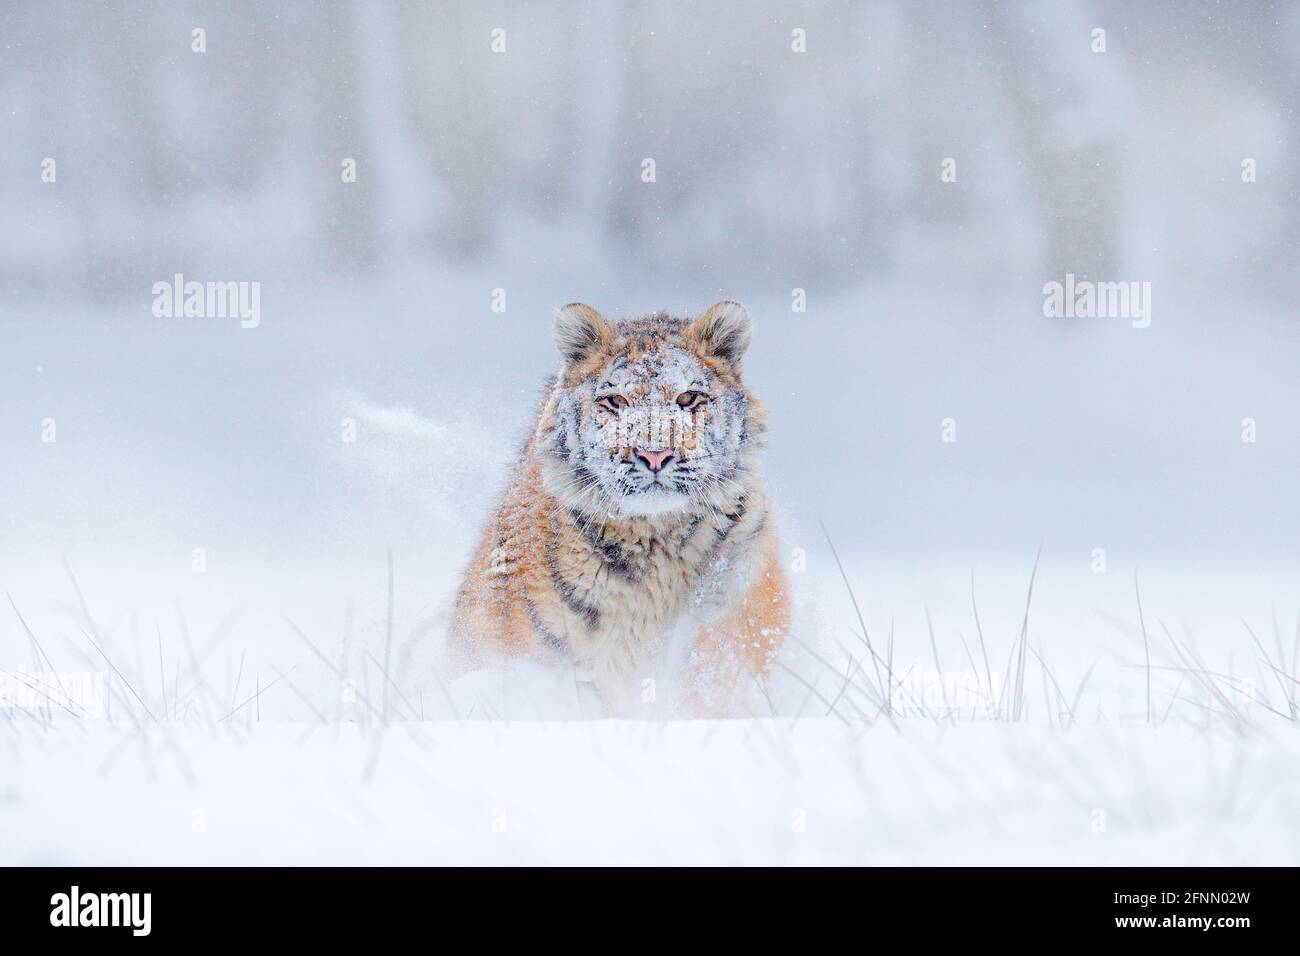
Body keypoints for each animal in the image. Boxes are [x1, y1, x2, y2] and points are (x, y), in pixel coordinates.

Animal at [449, 301, 788, 715]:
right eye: (616, 401)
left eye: (688, 399)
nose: (655, 454)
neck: (656, 543)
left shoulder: (742, 587)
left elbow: (717, 666)